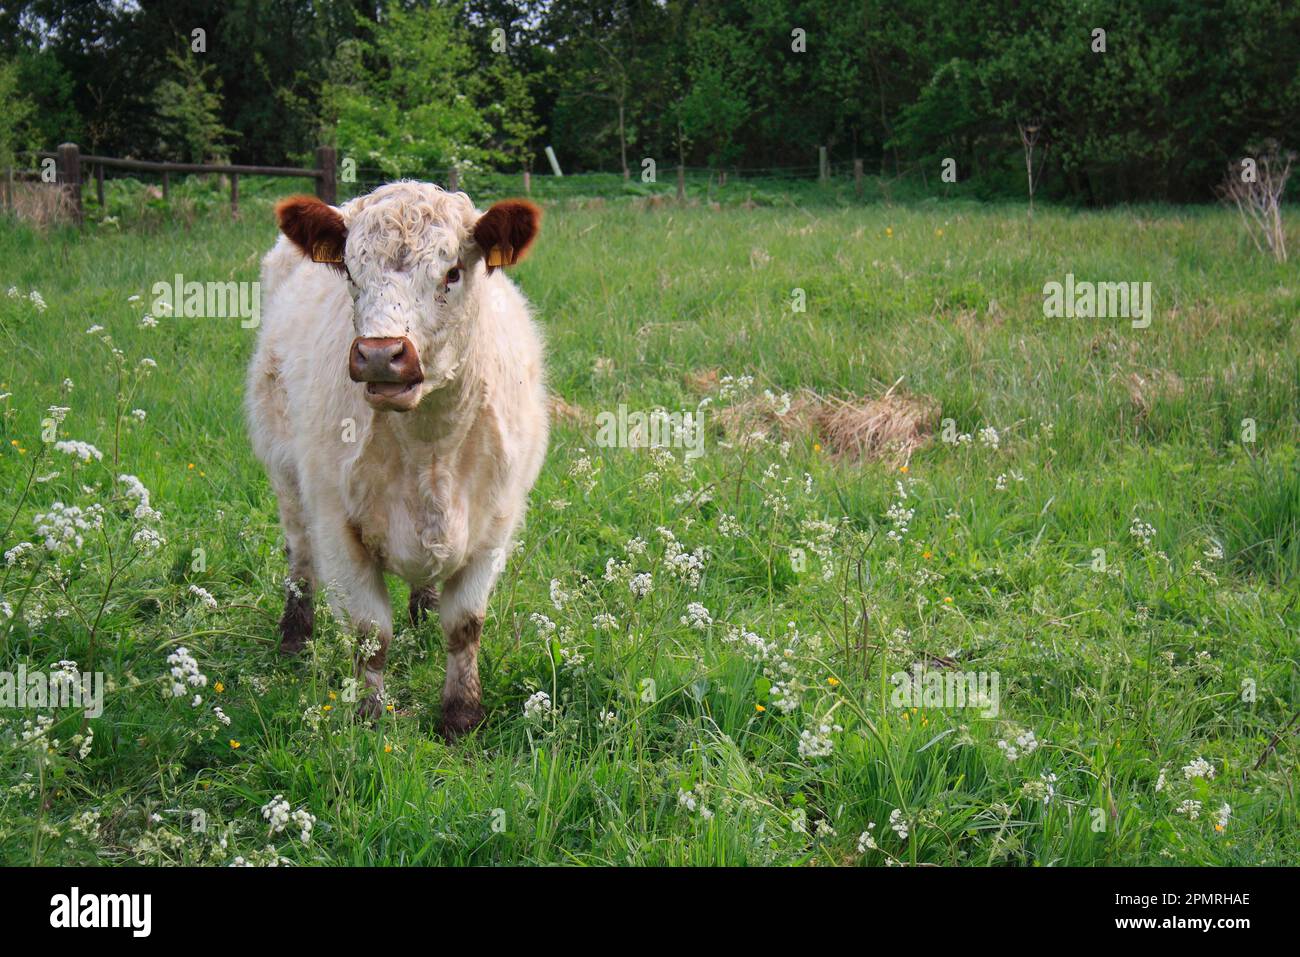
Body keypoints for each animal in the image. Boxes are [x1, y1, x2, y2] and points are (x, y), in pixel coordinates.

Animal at [245, 181, 548, 740]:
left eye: (452, 272)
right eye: (350, 271)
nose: (381, 355)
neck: (429, 446)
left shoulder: (495, 523)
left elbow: (464, 624)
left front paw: (460, 714)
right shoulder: (336, 523)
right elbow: (370, 633)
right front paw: (369, 716)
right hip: (285, 474)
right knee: (299, 557)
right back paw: (295, 634)